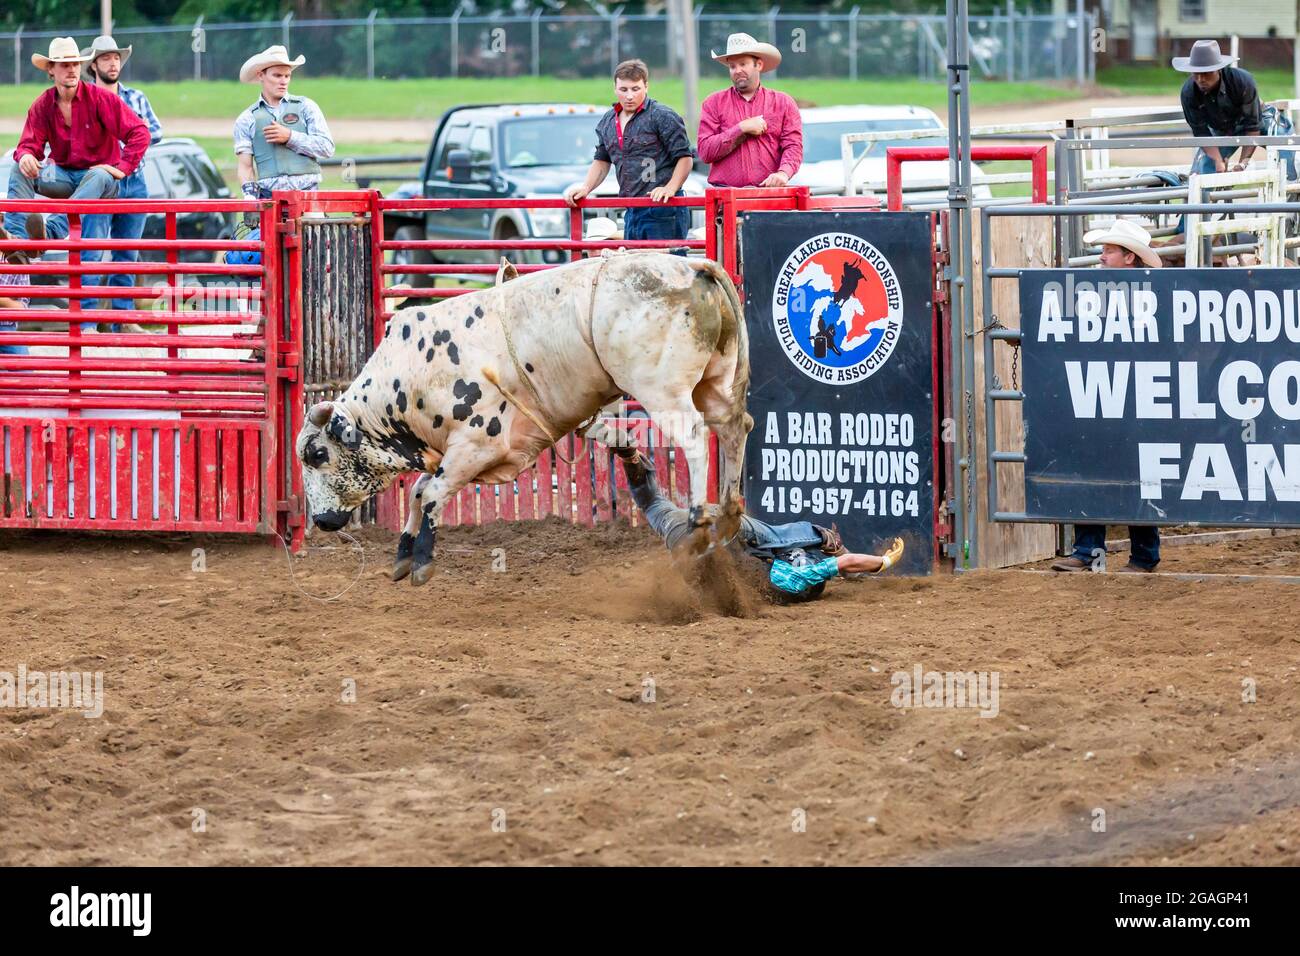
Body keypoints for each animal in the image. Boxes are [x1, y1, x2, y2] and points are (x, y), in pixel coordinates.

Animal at [296, 251, 753, 585]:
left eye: (317, 454)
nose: (319, 520)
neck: (412, 374)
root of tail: (691, 267)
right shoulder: (457, 453)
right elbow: (420, 491)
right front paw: (404, 555)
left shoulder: (476, 444)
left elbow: (430, 493)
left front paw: (422, 561)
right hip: (715, 382)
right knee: (734, 428)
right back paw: (729, 512)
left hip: (664, 390)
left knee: (694, 439)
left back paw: (698, 519)